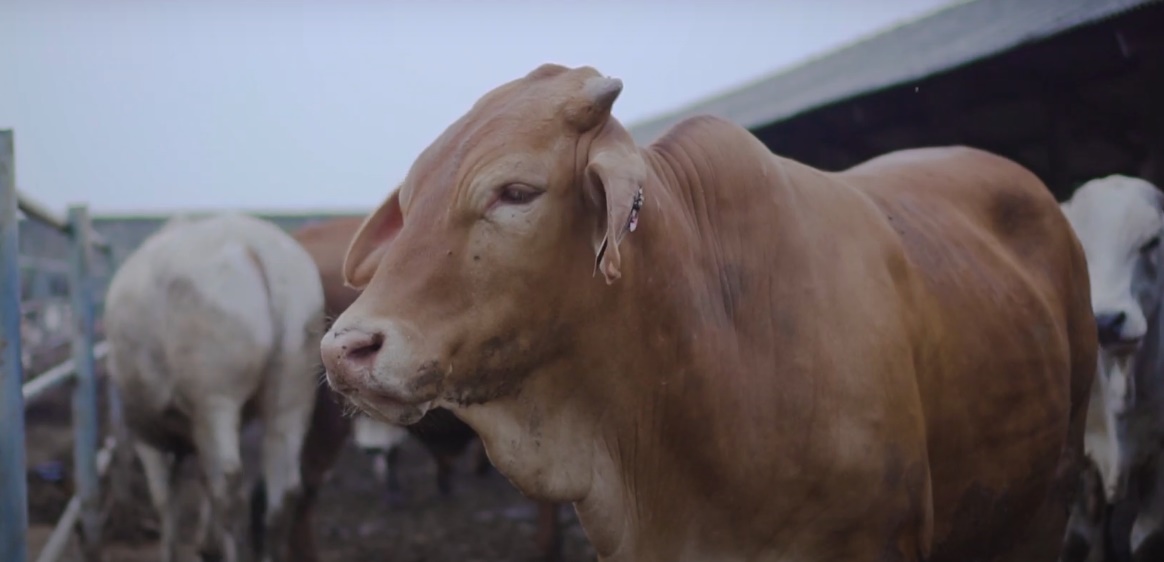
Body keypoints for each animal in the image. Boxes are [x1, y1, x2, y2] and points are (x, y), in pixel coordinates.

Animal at [104, 213, 325, 562]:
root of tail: (257, 248)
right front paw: (206, 544)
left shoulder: (147, 433)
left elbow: (165, 499)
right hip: (293, 388)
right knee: (284, 493)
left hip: (215, 396)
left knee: (230, 491)